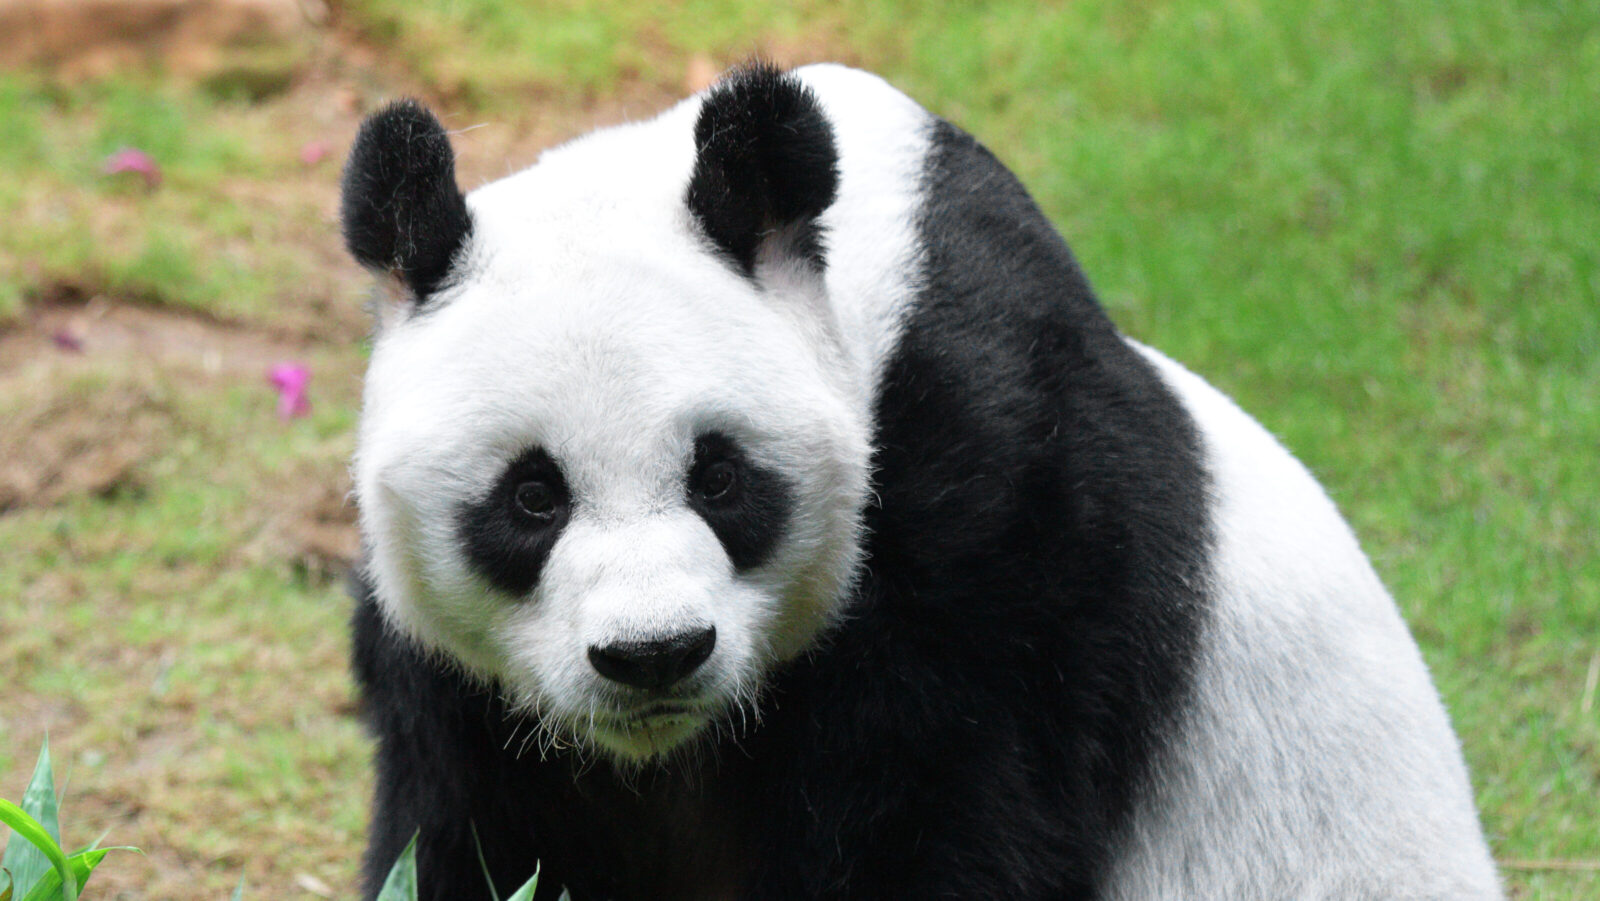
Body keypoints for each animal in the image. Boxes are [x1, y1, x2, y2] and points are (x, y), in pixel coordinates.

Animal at [339, 63, 1502, 900]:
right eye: (533, 497)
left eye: (720, 478)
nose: (653, 653)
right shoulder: (461, 695)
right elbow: (471, 840)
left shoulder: (998, 526)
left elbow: (947, 820)